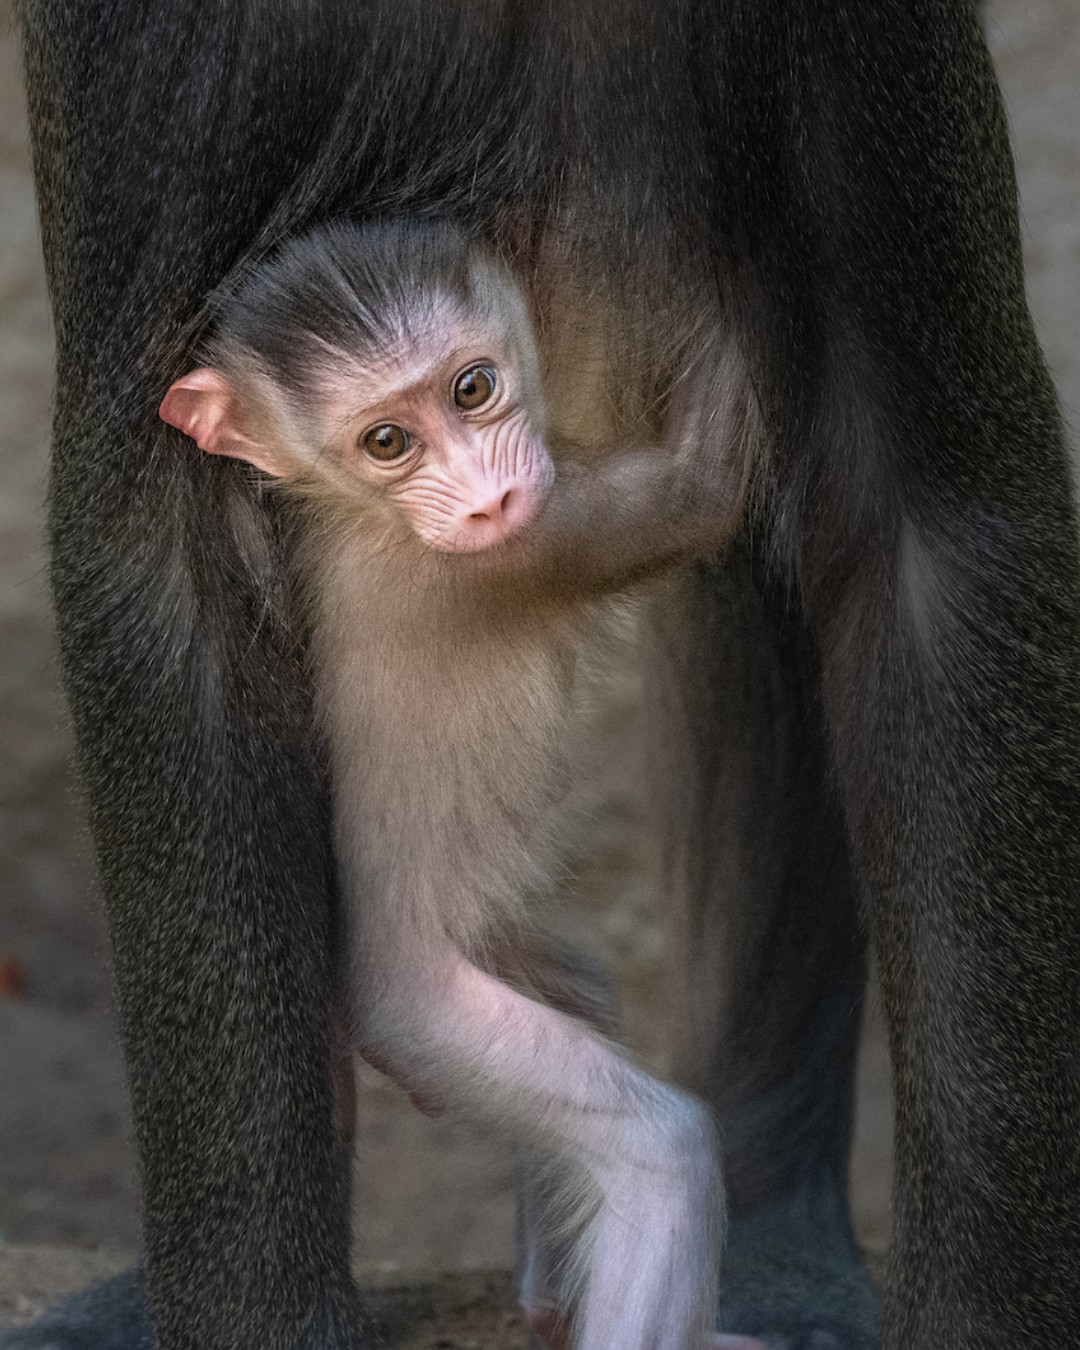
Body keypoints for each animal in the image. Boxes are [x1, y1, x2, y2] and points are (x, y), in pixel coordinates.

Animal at [156, 216, 754, 1350]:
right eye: (387, 443)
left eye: (473, 388)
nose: (488, 497)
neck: (364, 519)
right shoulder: (523, 545)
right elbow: (705, 488)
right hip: (423, 1011)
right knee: (658, 1153)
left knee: (582, 994)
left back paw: (546, 1295)